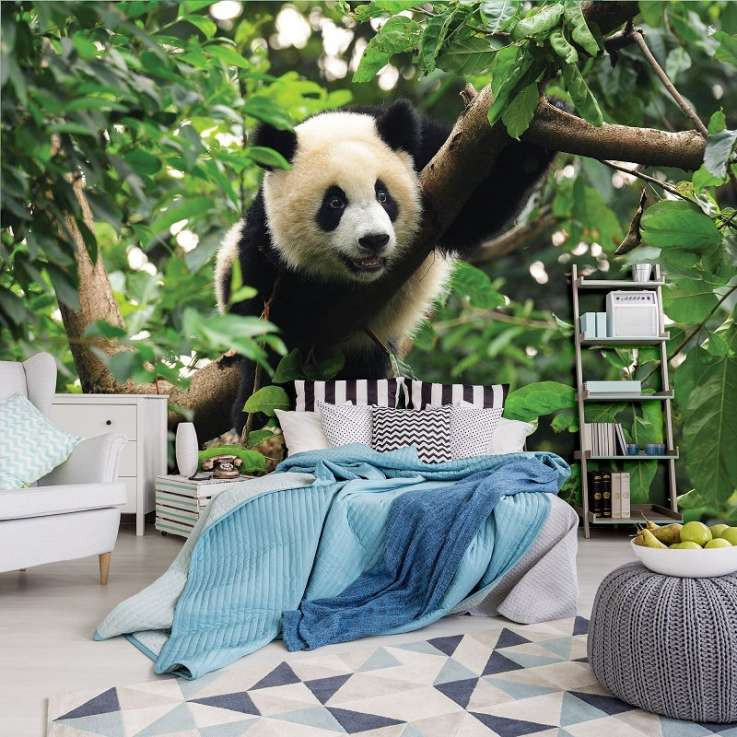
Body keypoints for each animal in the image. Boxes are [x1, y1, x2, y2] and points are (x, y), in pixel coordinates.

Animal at [215, 99, 551, 432]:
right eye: (334, 202)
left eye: (383, 194)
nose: (374, 240)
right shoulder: (266, 243)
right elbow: (268, 326)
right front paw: (256, 408)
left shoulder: (434, 159)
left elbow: (477, 209)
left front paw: (538, 125)